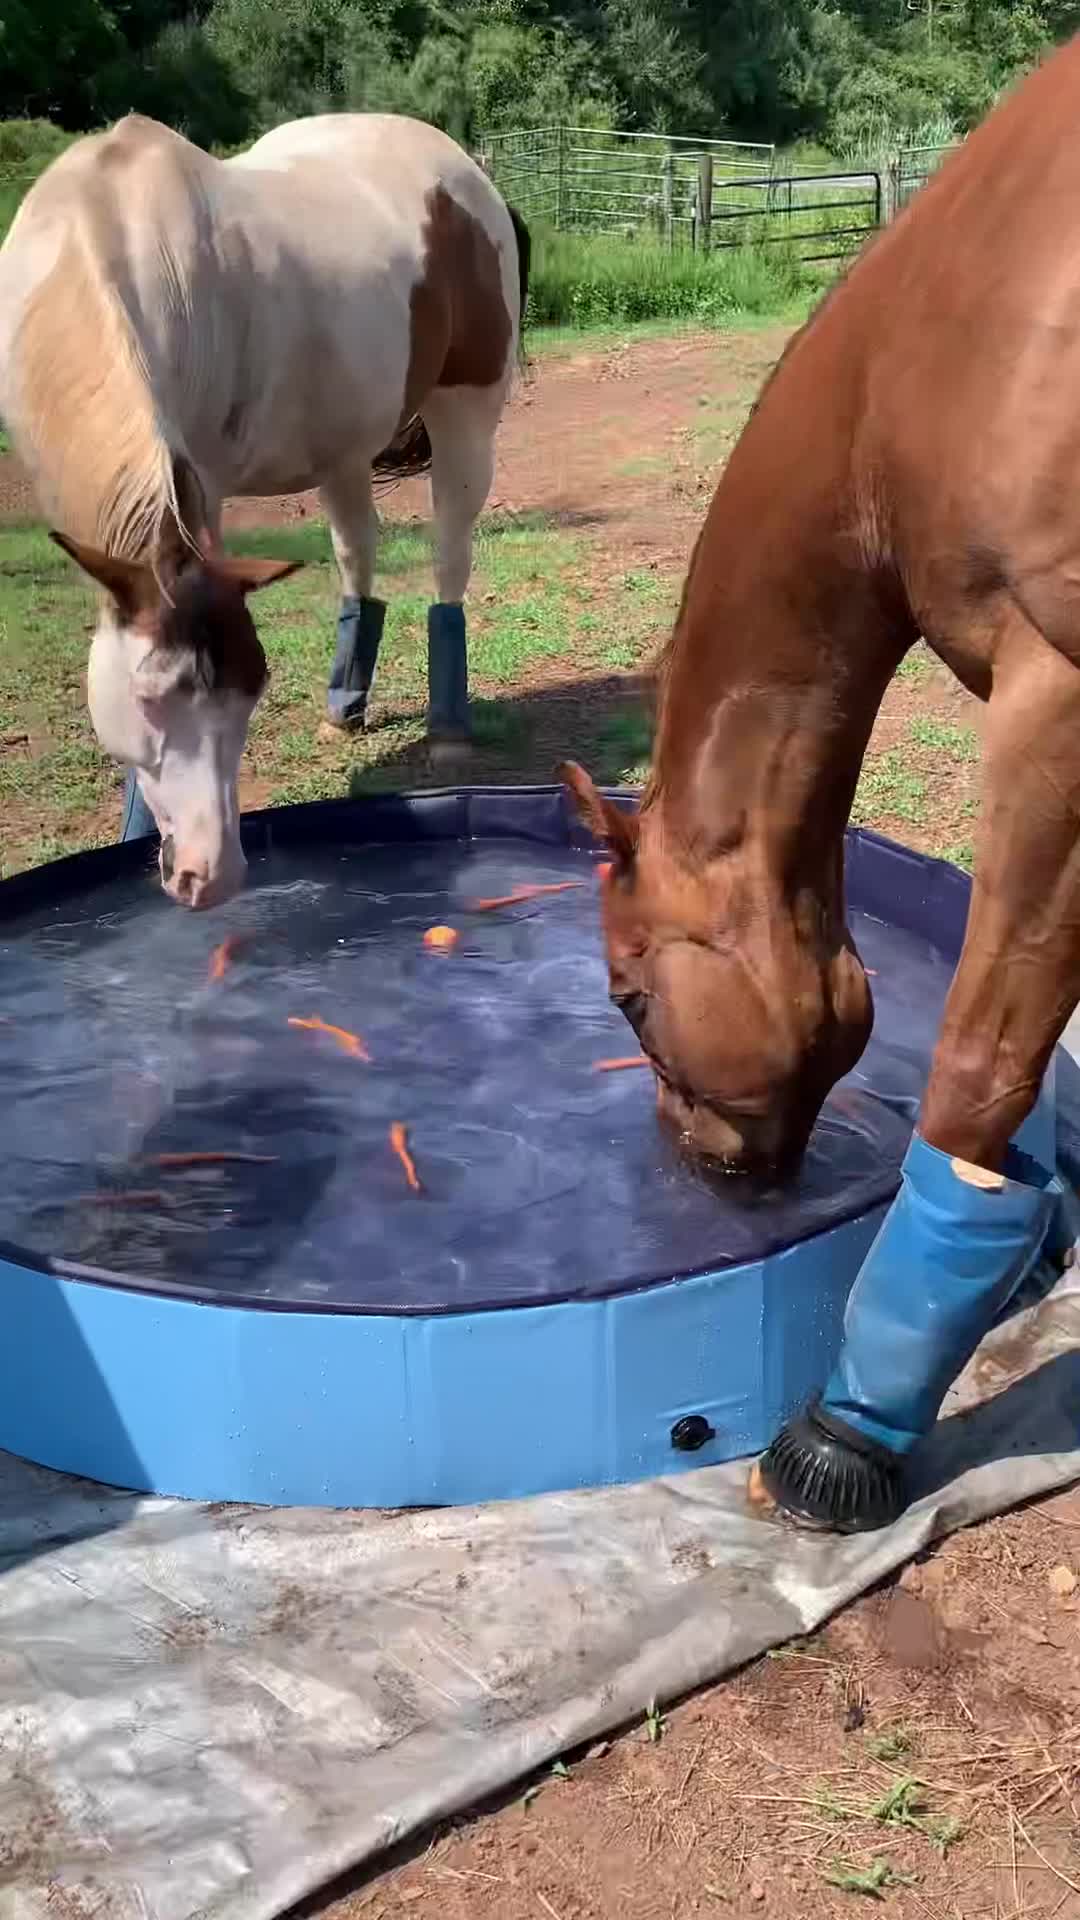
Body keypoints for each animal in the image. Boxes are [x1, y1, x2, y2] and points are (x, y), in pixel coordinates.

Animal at [0, 112, 528, 908]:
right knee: (357, 554)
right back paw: (345, 708)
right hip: (345, 451)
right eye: (151, 697)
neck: (93, 248)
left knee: (450, 556)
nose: (213, 874)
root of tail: (466, 171)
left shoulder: (202, 488)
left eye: (250, 695)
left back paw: (448, 729)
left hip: (465, 411)